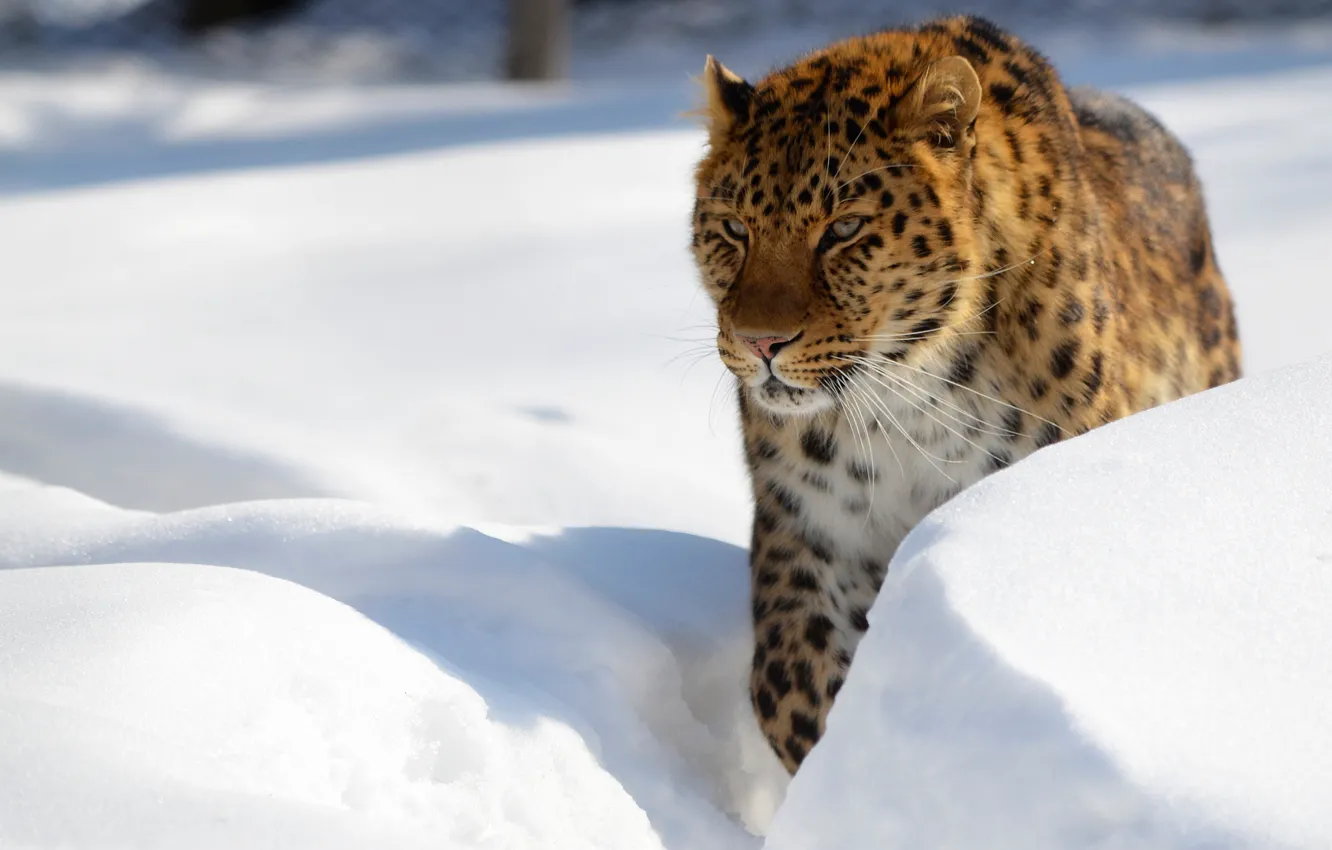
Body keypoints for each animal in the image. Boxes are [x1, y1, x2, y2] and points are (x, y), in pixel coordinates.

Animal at [689, 15, 1241, 774]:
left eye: (843, 229)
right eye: (734, 229)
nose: (759, 343)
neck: (905, 399)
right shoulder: (808, 532)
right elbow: (792, 683)